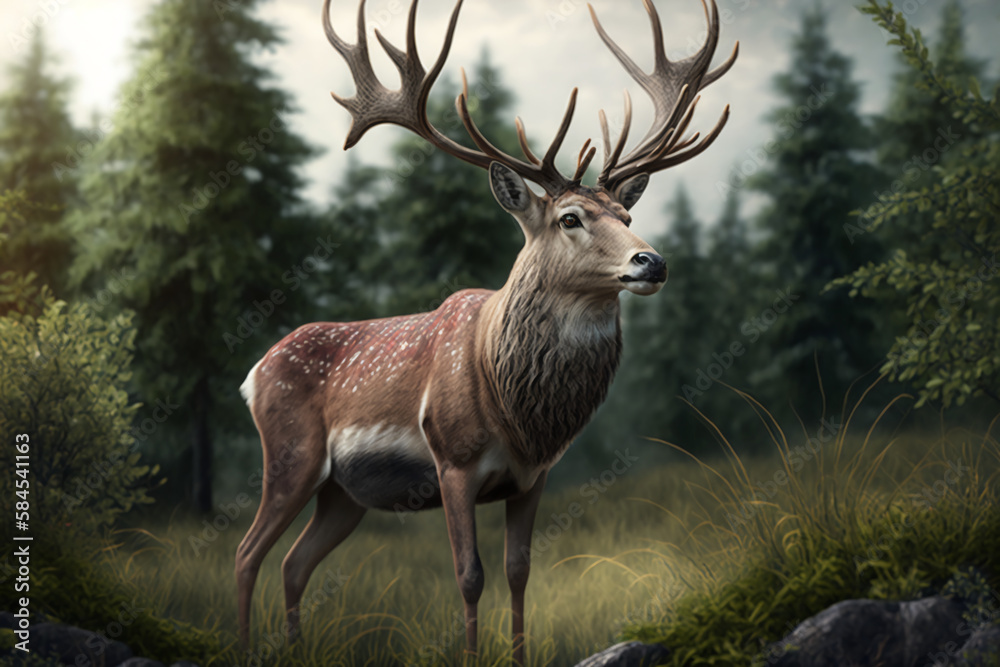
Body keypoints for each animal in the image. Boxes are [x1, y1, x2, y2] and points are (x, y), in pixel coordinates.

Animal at [235, 0, 737, 663]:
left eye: (627, 213)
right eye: (570, 218)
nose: (651, 261)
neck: (513, 403)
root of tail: (253, 373)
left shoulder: (533, 475)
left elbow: (519, 571)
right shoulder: (452, 460)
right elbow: (469, 575)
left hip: (343, 493)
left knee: (293, 563)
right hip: (291, 454)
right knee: (246, 554)